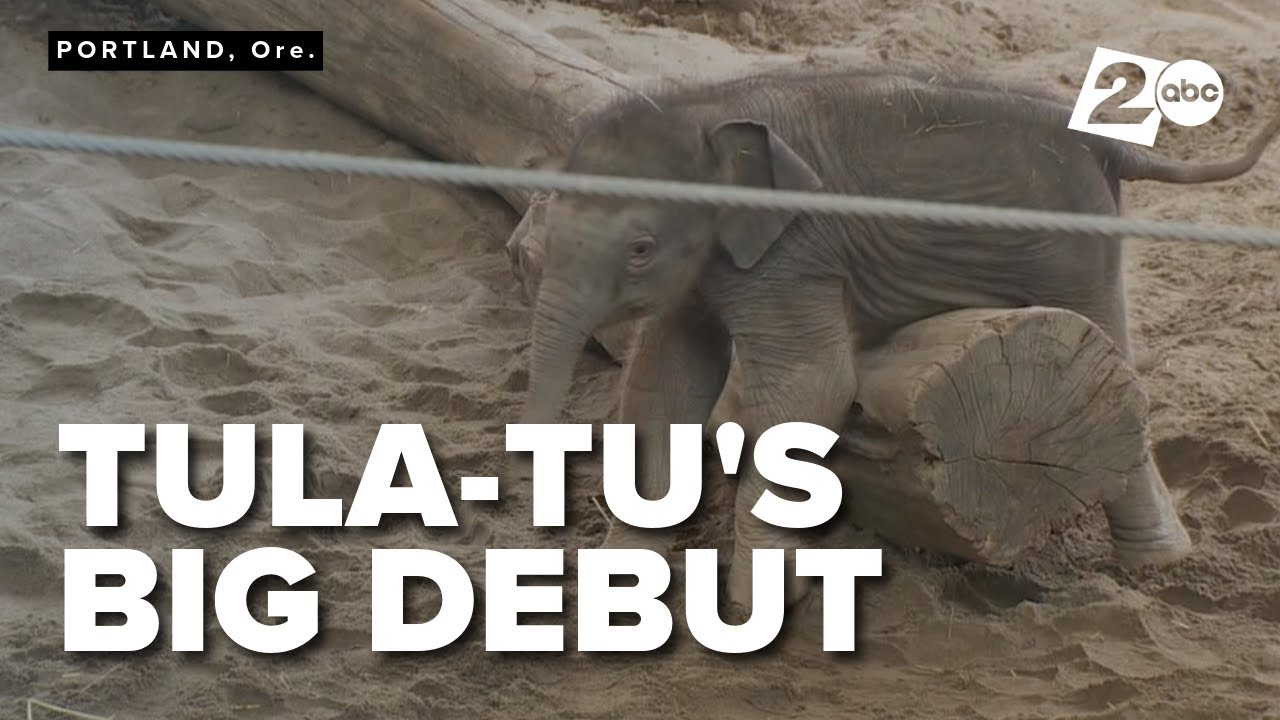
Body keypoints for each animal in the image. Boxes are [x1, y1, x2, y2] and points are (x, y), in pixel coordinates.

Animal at [516, 67, 1280, 609]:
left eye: (640, 249)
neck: (706, 109)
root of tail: (1106, 143)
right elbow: (661, 390)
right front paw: (624, 584)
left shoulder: (797, 251)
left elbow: (807, 389)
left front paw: (759, 606)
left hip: (1074, 244)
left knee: (1117, 360)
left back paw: (1159, 564)